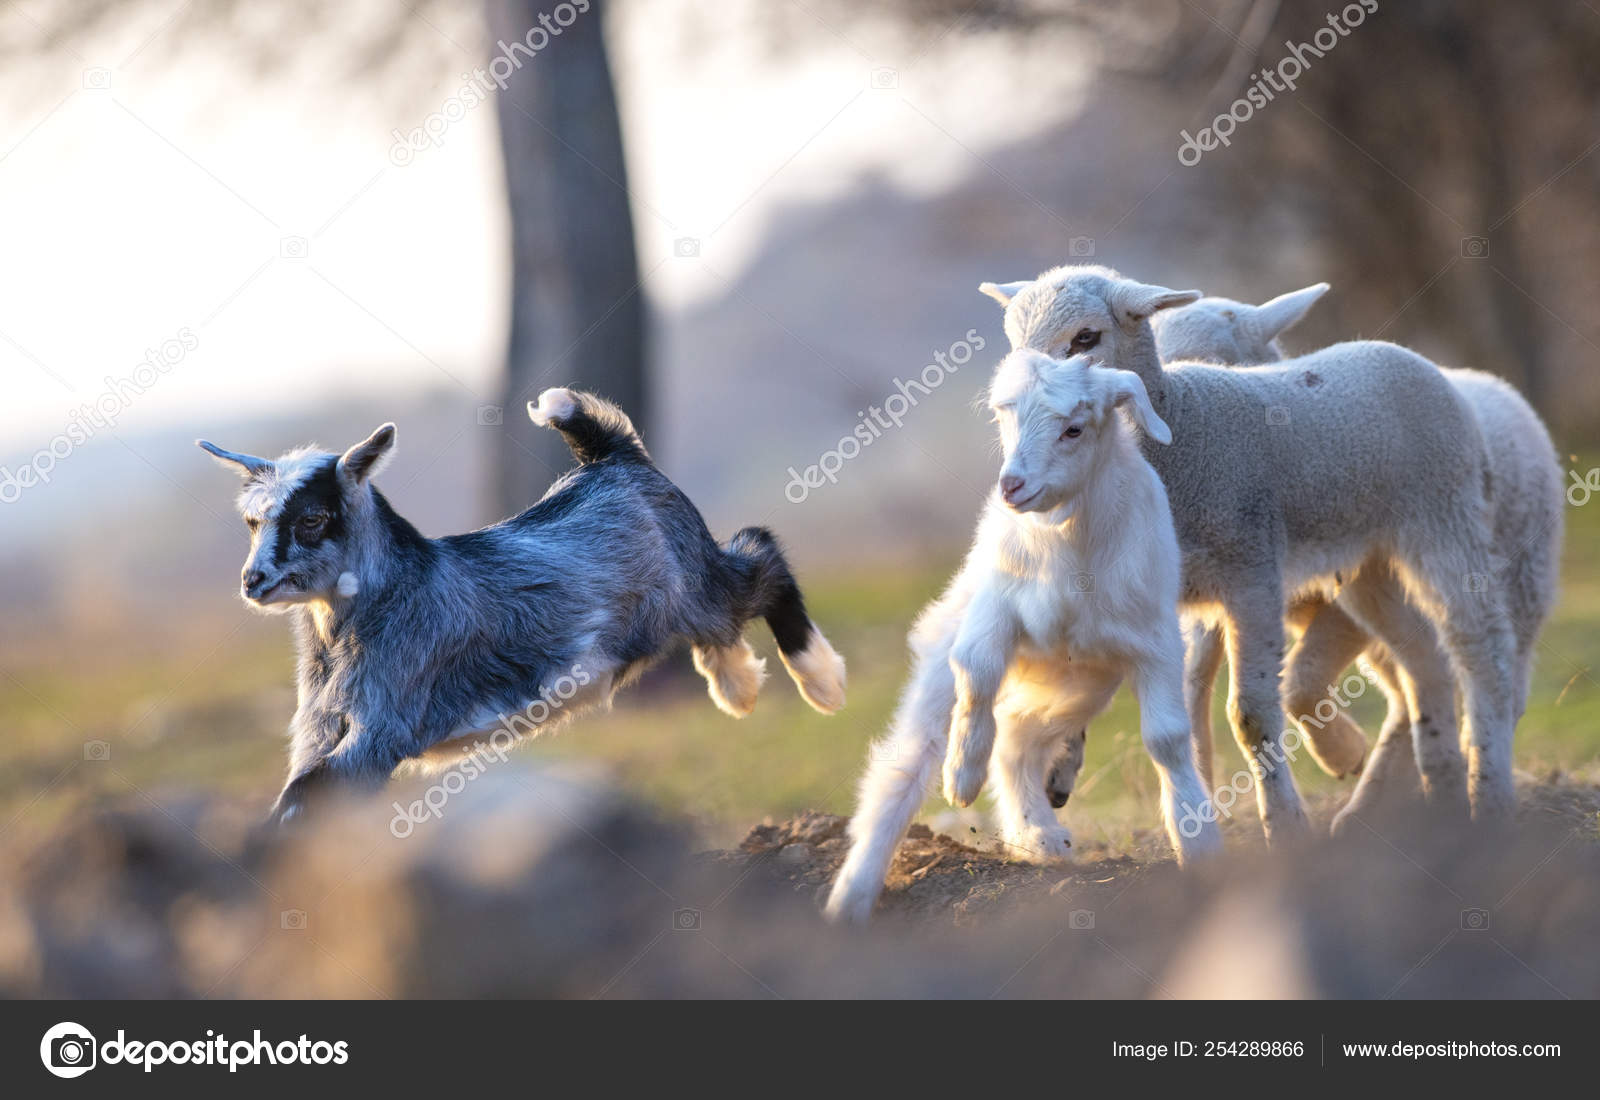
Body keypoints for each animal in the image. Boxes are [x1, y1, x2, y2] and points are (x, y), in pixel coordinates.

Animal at [197, 387, 846, 824]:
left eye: (311, 519)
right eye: (252, 522)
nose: (254, 582)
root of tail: (612, 459)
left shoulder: (385, 723)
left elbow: (300, 801)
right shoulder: (319, 729)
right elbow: (303, 793)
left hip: (695, 583)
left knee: (761, 556)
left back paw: (820, 681)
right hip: (688, 599)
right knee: (726, 620)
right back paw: (737, 685)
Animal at [824, 349, 1221, 924]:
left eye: (1073, 429)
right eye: (1005, 420)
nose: (1011, 485)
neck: (1068, 545)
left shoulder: (1154, 640)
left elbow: (1167, 739)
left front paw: (1198, 839)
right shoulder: (995, 610)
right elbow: (976, 670)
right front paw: (962, 776)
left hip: (1078, 683)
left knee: (1016, 740)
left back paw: (1040, 835)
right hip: (961, 655)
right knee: (906, 763)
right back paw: (853, 896)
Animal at [976, 265, 1520, 835]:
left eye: (1086, 338)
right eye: (1013, 341)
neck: (1183, 428)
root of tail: (1409, 357)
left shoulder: (1252, 573)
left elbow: (1251, 714)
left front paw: (1284, 825)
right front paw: (1061, 768)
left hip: (1445, 516)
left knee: (1481, 647)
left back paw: (1489, 792)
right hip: (1369, 561)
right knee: (1424, 659)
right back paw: (1442, 791)